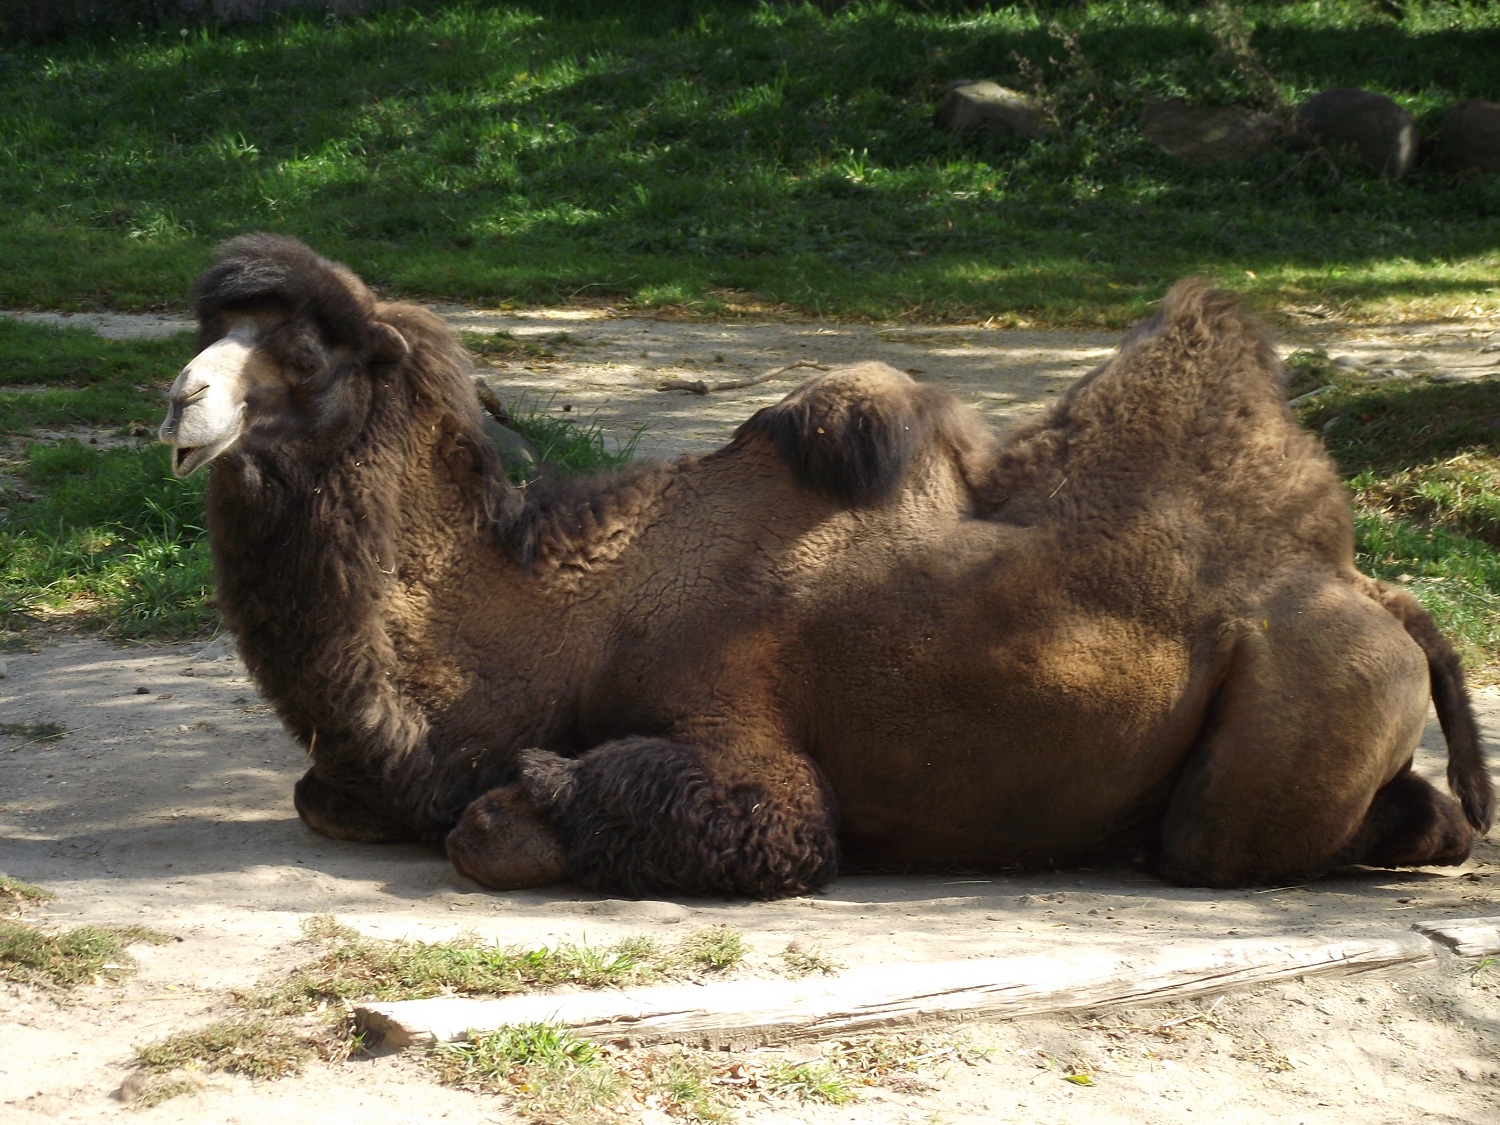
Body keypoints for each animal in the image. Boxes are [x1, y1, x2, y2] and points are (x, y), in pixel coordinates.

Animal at [158, 233, 1493, 898]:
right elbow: (329, 795)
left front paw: (527, 804)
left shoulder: (740, 734)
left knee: (1232, 841)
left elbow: (546, 821)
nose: (179, 402)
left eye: (306, 353)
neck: (573, 614)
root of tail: (1382, 594)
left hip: (1302, 697)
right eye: (213, 335)